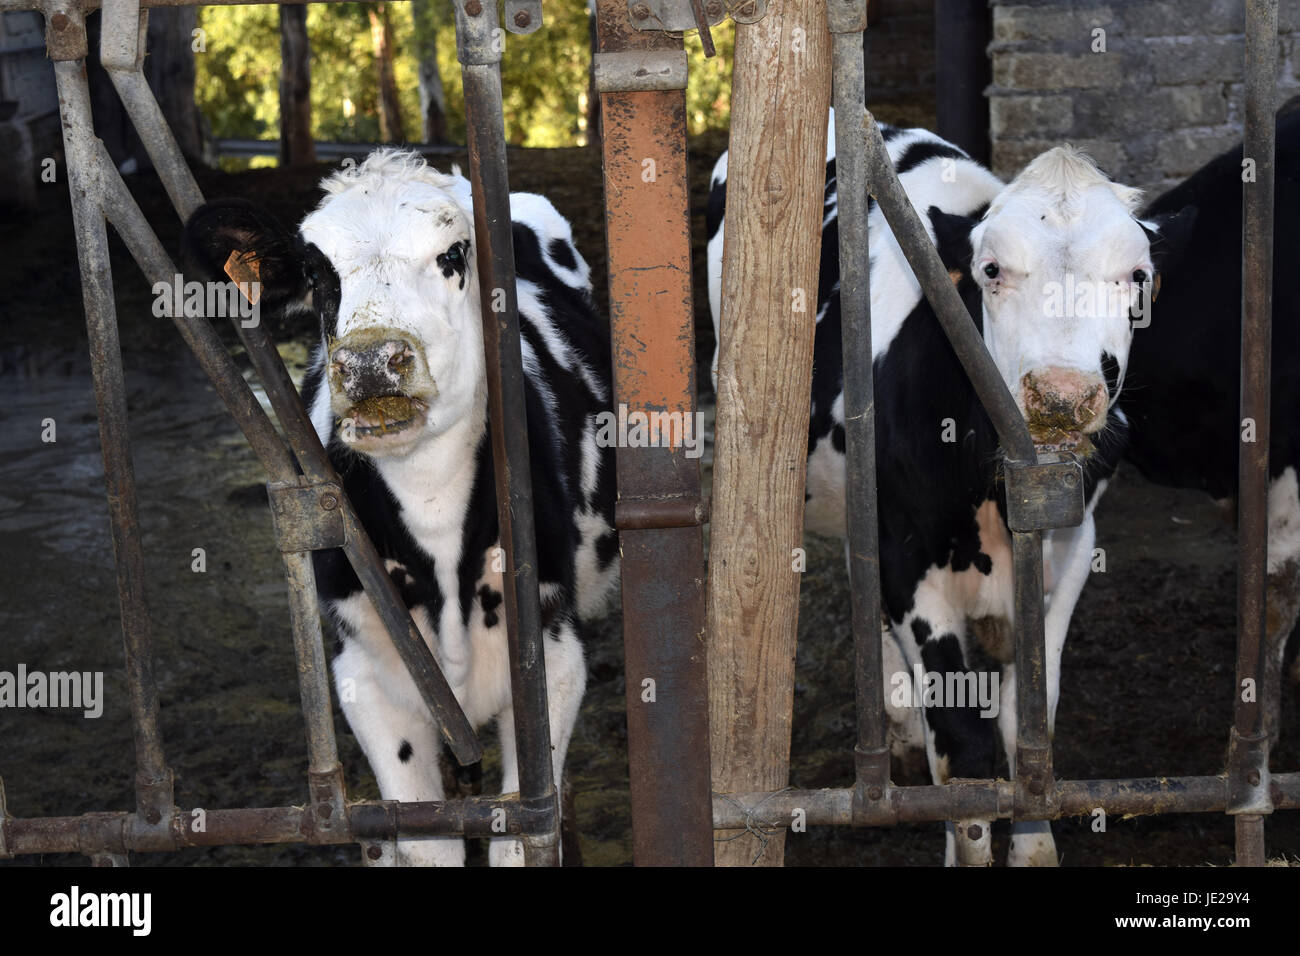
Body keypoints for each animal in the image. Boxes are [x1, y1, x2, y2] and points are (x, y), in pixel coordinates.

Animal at [182, 150, 619, 866]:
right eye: (316, 272)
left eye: (454, 253)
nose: (369, 363)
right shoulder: (364, 674)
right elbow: (424, 841)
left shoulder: (555, 658)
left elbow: (524, 834)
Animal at [707, 111, 1187, 865]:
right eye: (992, 271)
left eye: (1136, 276)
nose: (1061, 397)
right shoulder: (907, 557)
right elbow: (963, 750)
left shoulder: (1074, 545)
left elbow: (1027, 725)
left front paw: (1034, 846)